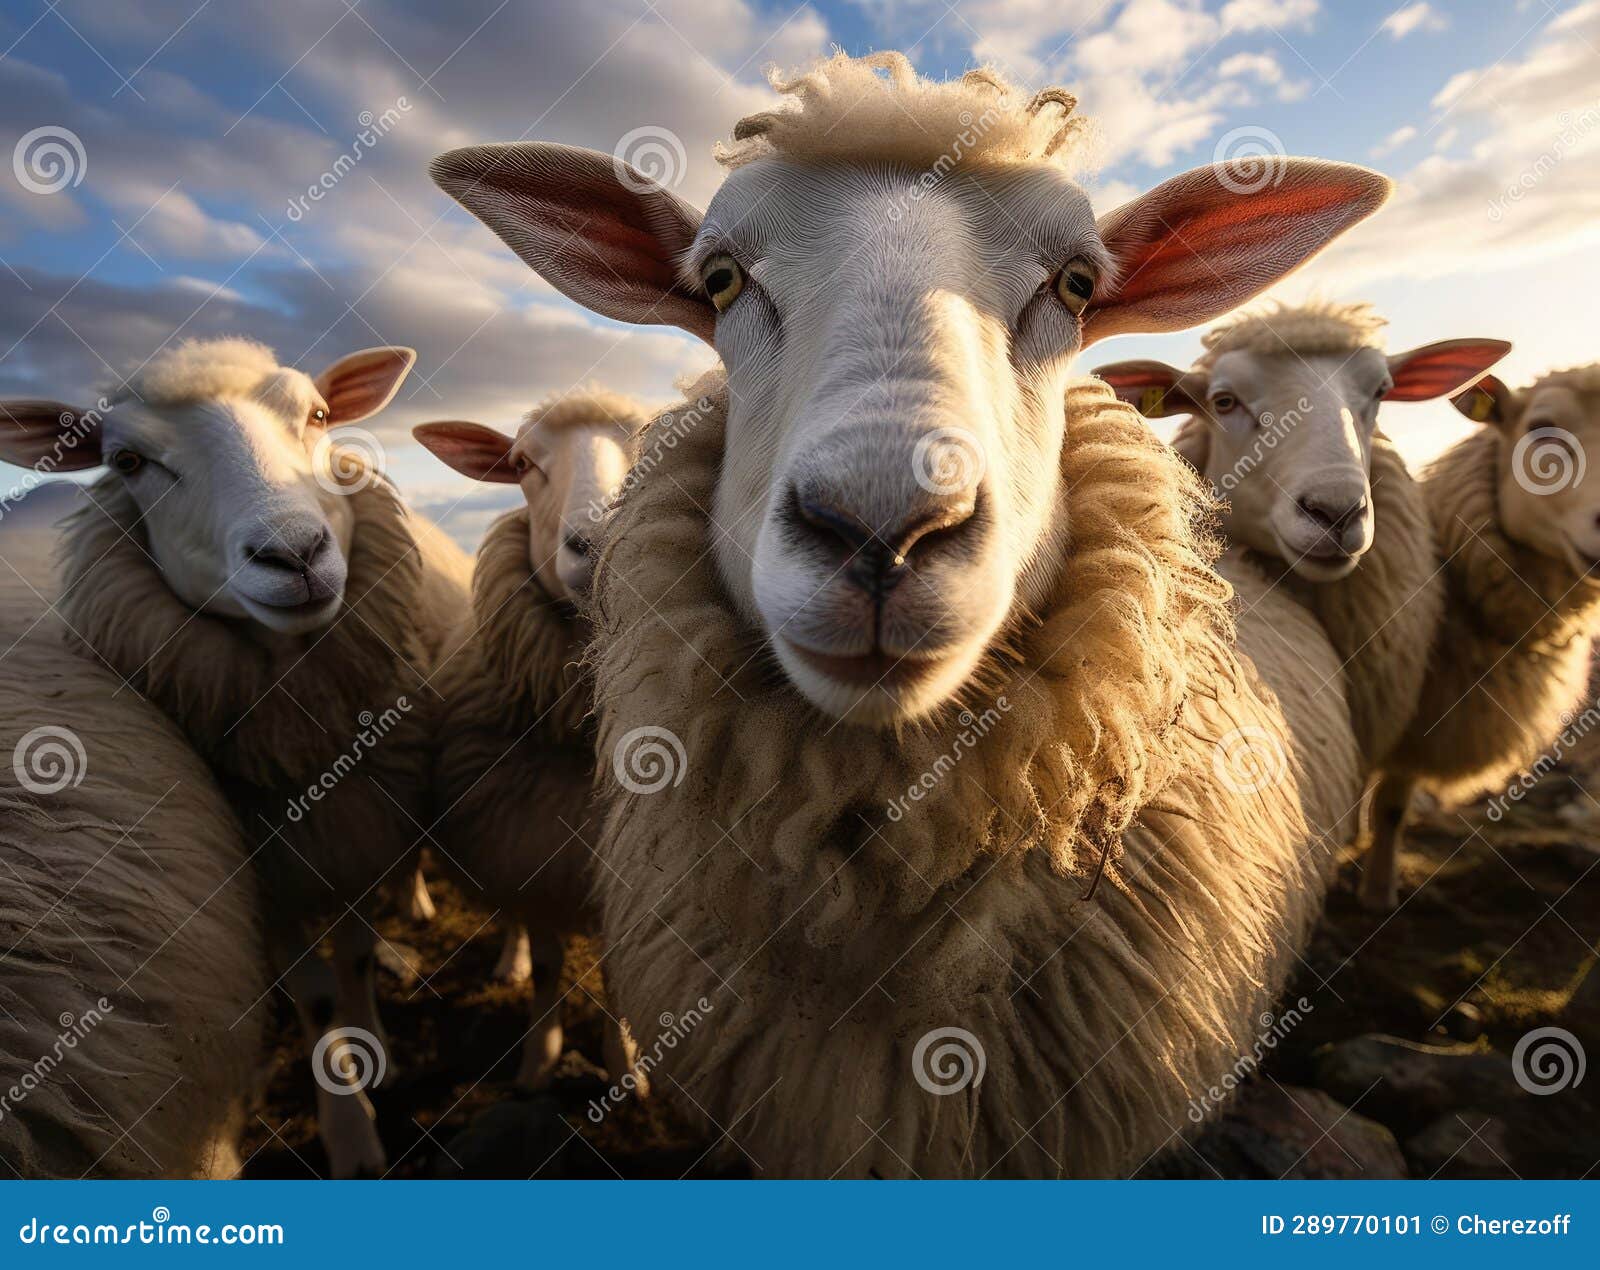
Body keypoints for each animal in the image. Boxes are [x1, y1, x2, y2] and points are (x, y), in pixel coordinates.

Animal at [412, 387, 651, 1087]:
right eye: (521, 464)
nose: (595, 545)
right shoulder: (532, 847)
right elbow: (547, 961)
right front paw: (538, 1064)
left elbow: (615, 975)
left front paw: (626, 1067)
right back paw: (508, 962)